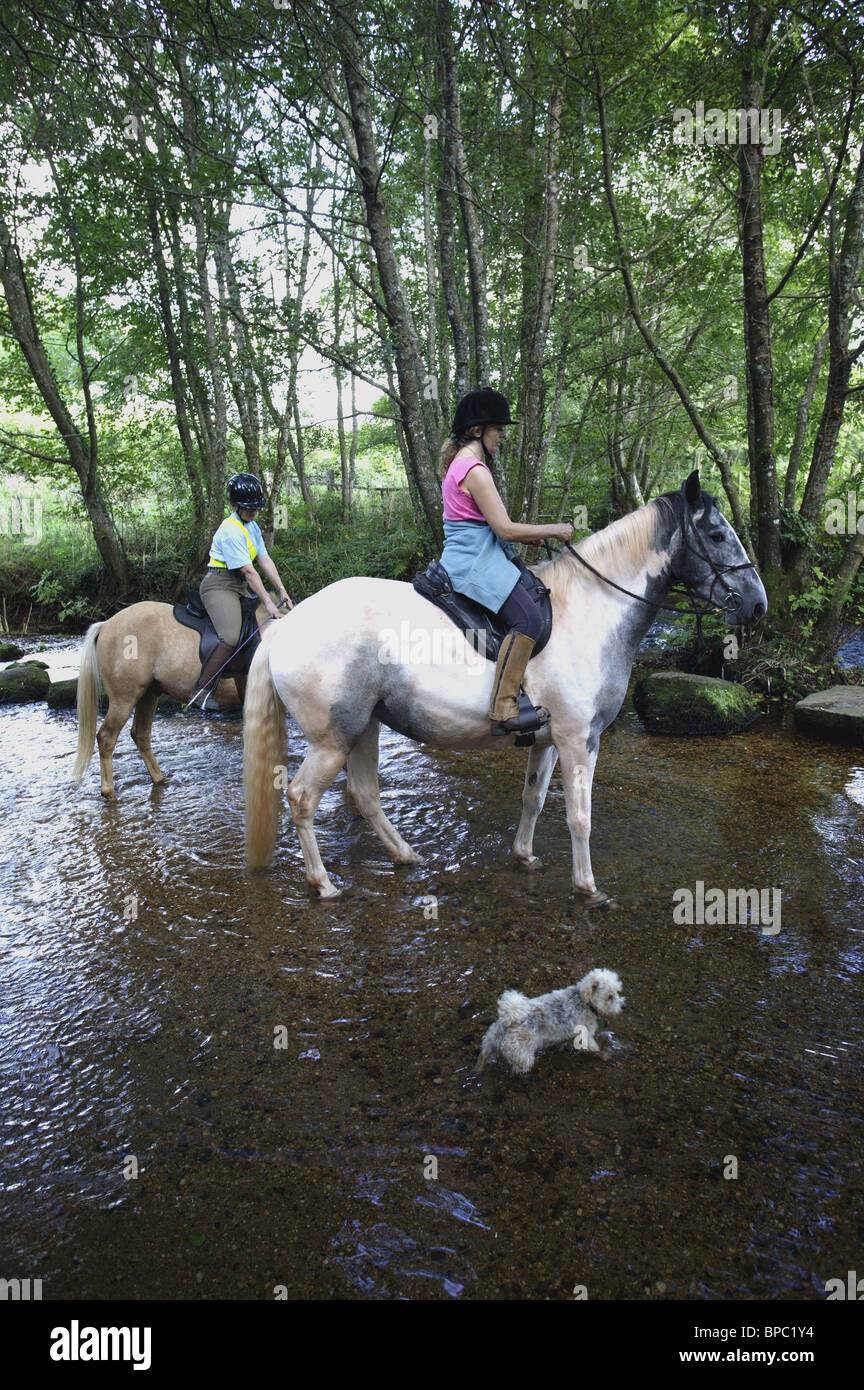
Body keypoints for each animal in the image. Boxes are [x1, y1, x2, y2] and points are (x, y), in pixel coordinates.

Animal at [72, 599, 270, 799]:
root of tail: (106, 624)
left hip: (149, 695)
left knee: (140, 735)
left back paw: (159, 779)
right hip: (124, 699)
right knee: (107, 737)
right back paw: (108, 791)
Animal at [243, 472, 767, 902]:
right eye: (717, 535)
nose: (758, 605)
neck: (593, 611)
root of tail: (284, 627)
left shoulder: (549, 739)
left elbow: (533, 799)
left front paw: (524, 856)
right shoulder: (579, 739)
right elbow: (580, 816)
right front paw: (588, 888)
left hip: (365, 727)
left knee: (366, 794)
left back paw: (407, 856)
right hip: (332, 738)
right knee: (302, 798)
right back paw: (324, 884)